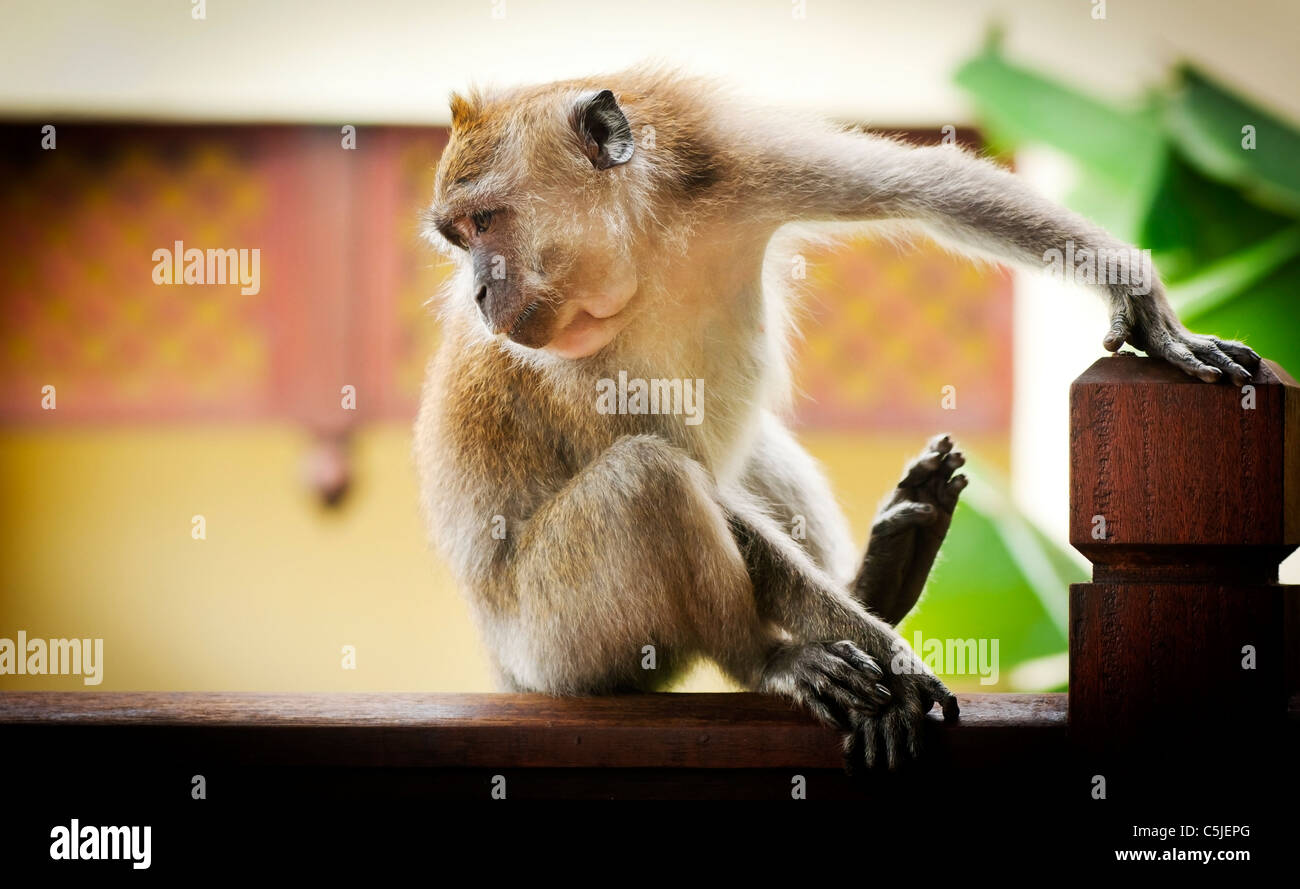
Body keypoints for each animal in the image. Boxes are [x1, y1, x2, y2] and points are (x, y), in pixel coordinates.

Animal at [413, 66, 1261, 771]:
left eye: (486, 222)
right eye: (459, 237)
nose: (480, 295)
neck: (640, 251)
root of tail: (506, 664)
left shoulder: (723, 158)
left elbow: (926, 186)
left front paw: (1141, 301)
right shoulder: (555, 365)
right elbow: (682, 476)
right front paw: (877, 647)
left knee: (738, 460)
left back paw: (881, 572)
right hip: (555, 644)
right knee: (651, 481)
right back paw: (772, 656)